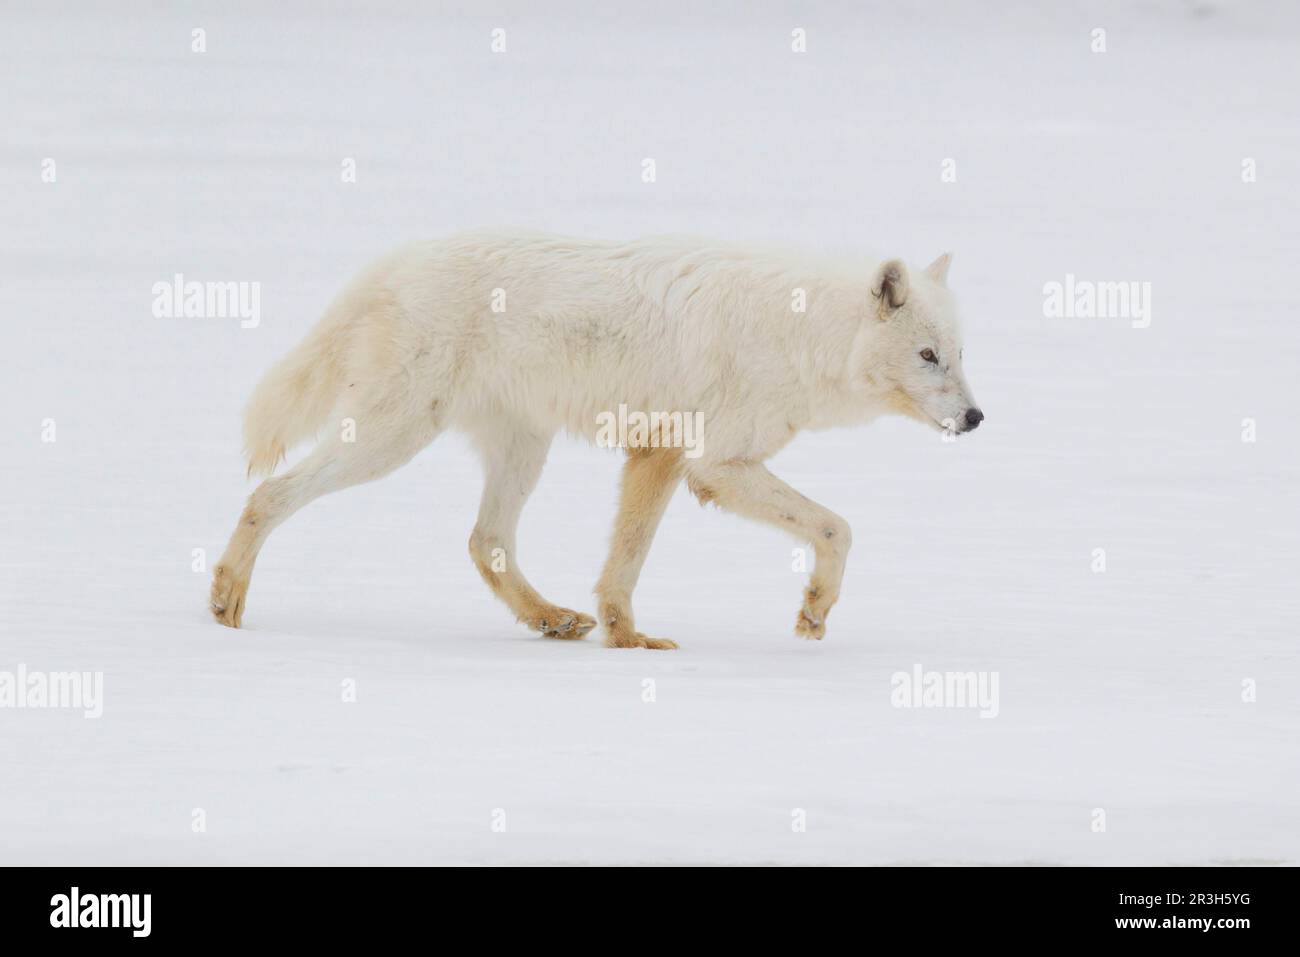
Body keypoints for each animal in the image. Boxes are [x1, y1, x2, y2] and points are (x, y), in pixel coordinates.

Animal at [210, 232, 983, 649]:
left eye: (958, 354)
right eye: (927, 357)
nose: (977, 418)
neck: (802, 331)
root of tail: (390, 265)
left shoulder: (660, 456)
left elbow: (622, 566)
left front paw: (626, 636)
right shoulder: (712, 464)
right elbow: (837, 527)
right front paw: (813, 609)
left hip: (522, 450)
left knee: (485, 541)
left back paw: (551, 618)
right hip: (391, 439)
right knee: (269, 493)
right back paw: (226, 601)